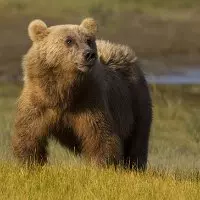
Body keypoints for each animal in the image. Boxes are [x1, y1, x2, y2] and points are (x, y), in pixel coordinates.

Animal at [11, 17, 152, 170]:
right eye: (69, 40)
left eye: (88, 40)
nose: (89, 54)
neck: (64, 91)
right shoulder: (40, 100)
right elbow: (29, 132)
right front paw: (31, 162)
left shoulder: (90, 101)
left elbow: (100, 136)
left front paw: (101, 165)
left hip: (135, 100)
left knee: (138, 138)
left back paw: (134, 165)